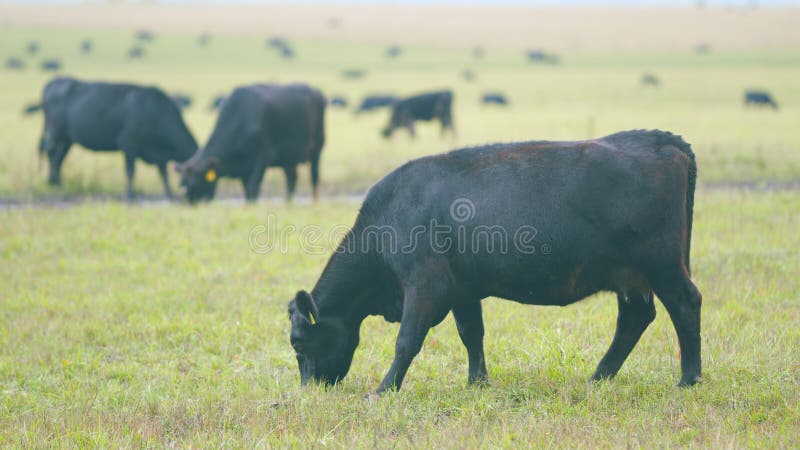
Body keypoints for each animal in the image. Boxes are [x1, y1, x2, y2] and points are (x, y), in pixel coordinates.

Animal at [25, 77, 197, 199]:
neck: (155, 111)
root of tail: (52, 83)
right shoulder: (129, 145)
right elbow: (130, 171)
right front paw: (129, 194)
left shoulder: (159, 154)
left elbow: (163, 173)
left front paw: (169, 193)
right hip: (55, 134)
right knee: (51, 155)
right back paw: (54, 182)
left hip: (67, 140)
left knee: (58, 158)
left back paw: (55, 182)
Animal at [177, 83, 325, 203]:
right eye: (182, 183)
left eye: (195, 184)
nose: (191, 204)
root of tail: (317, 92)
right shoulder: (244, 168)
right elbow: (247, 192)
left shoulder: (262, 157)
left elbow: (252, 188)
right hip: (288, 158)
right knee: (291, 180)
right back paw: (287, 204)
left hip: (317, 149)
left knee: (314, 178)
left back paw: (314, 203)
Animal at [288, 129, 702, 394]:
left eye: (298, 343)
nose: (309, 391)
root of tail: (659, 140)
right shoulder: (462, 290)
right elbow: (472, 334)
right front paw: (477, 383)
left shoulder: (426, 285)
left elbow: (407, 340)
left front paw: (383, 389)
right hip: (630, 276)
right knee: (635, 317)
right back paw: (598, 379)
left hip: (662, 265)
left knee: (685, 305)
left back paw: (689, 380)